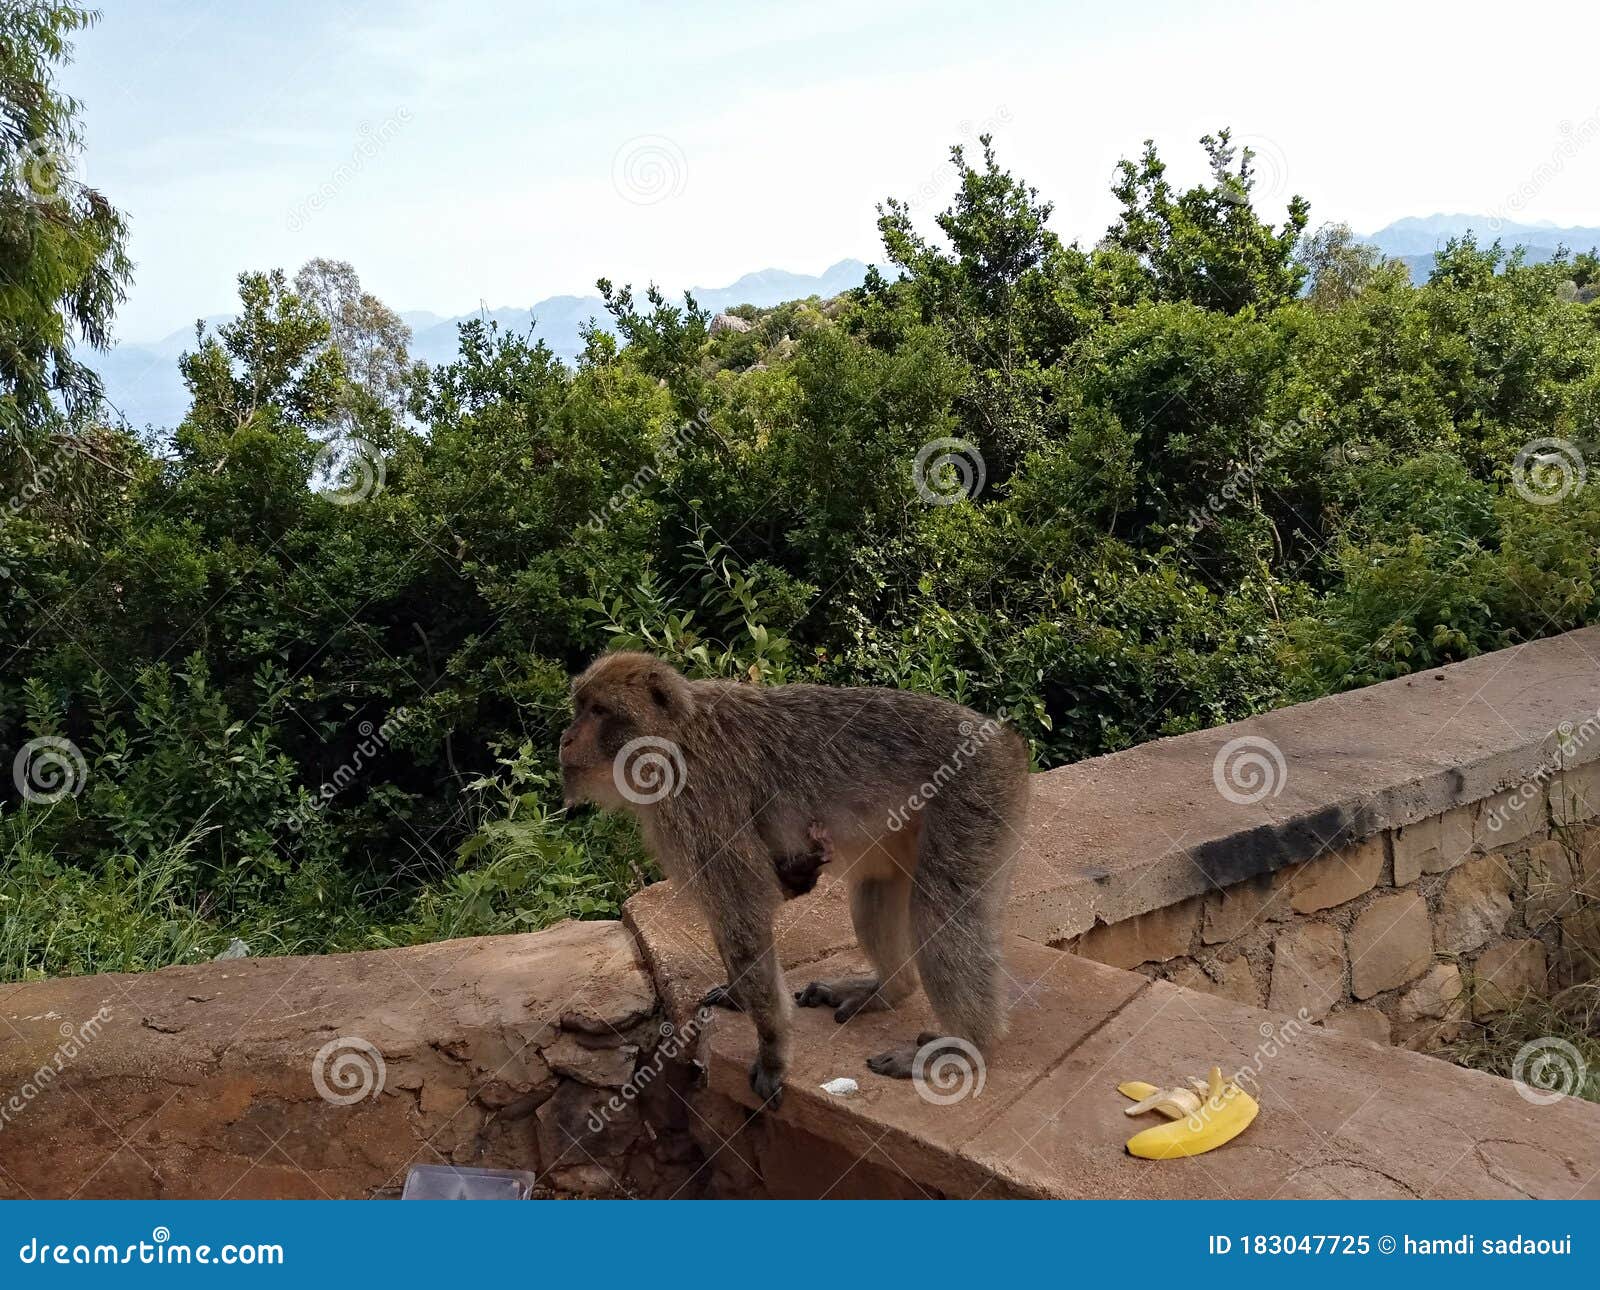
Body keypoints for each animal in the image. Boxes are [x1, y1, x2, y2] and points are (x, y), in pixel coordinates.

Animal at [558, 651, 1030, 1110]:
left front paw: (773, 1053)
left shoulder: (697, 804)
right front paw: (739, 993)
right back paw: (890, 991)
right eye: (579, 706)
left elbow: (746, 909)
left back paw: (968, 1043)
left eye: (598, 711)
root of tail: (1008, 741)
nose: (565, 738)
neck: (674, 739)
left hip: (976, 798)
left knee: (941, 914)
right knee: (875, 888)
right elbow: (757, 903)